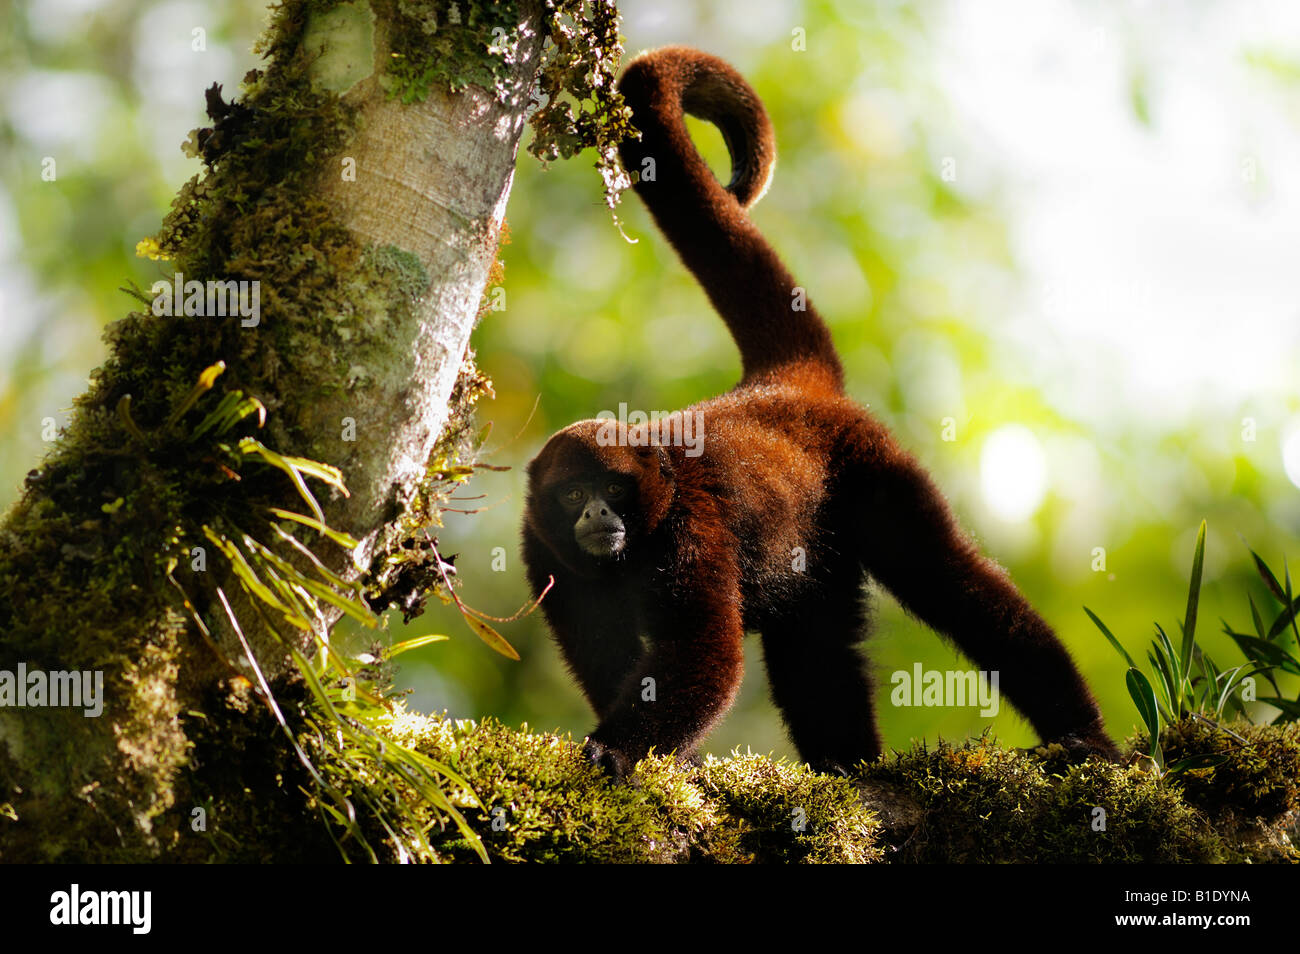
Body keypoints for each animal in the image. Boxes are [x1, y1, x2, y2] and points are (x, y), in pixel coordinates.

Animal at [521, 47, 1120, 780]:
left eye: (612, 486)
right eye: (572, 493)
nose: (597, 515)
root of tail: (779, 387)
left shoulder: (692, 524)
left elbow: (705, 656)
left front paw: (614, 750)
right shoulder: (540, 546)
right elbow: (602, 653)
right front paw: (668, 757)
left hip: (872, 467)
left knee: (950, 580)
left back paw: (1082, 735)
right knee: (816, 646)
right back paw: (847, 765)